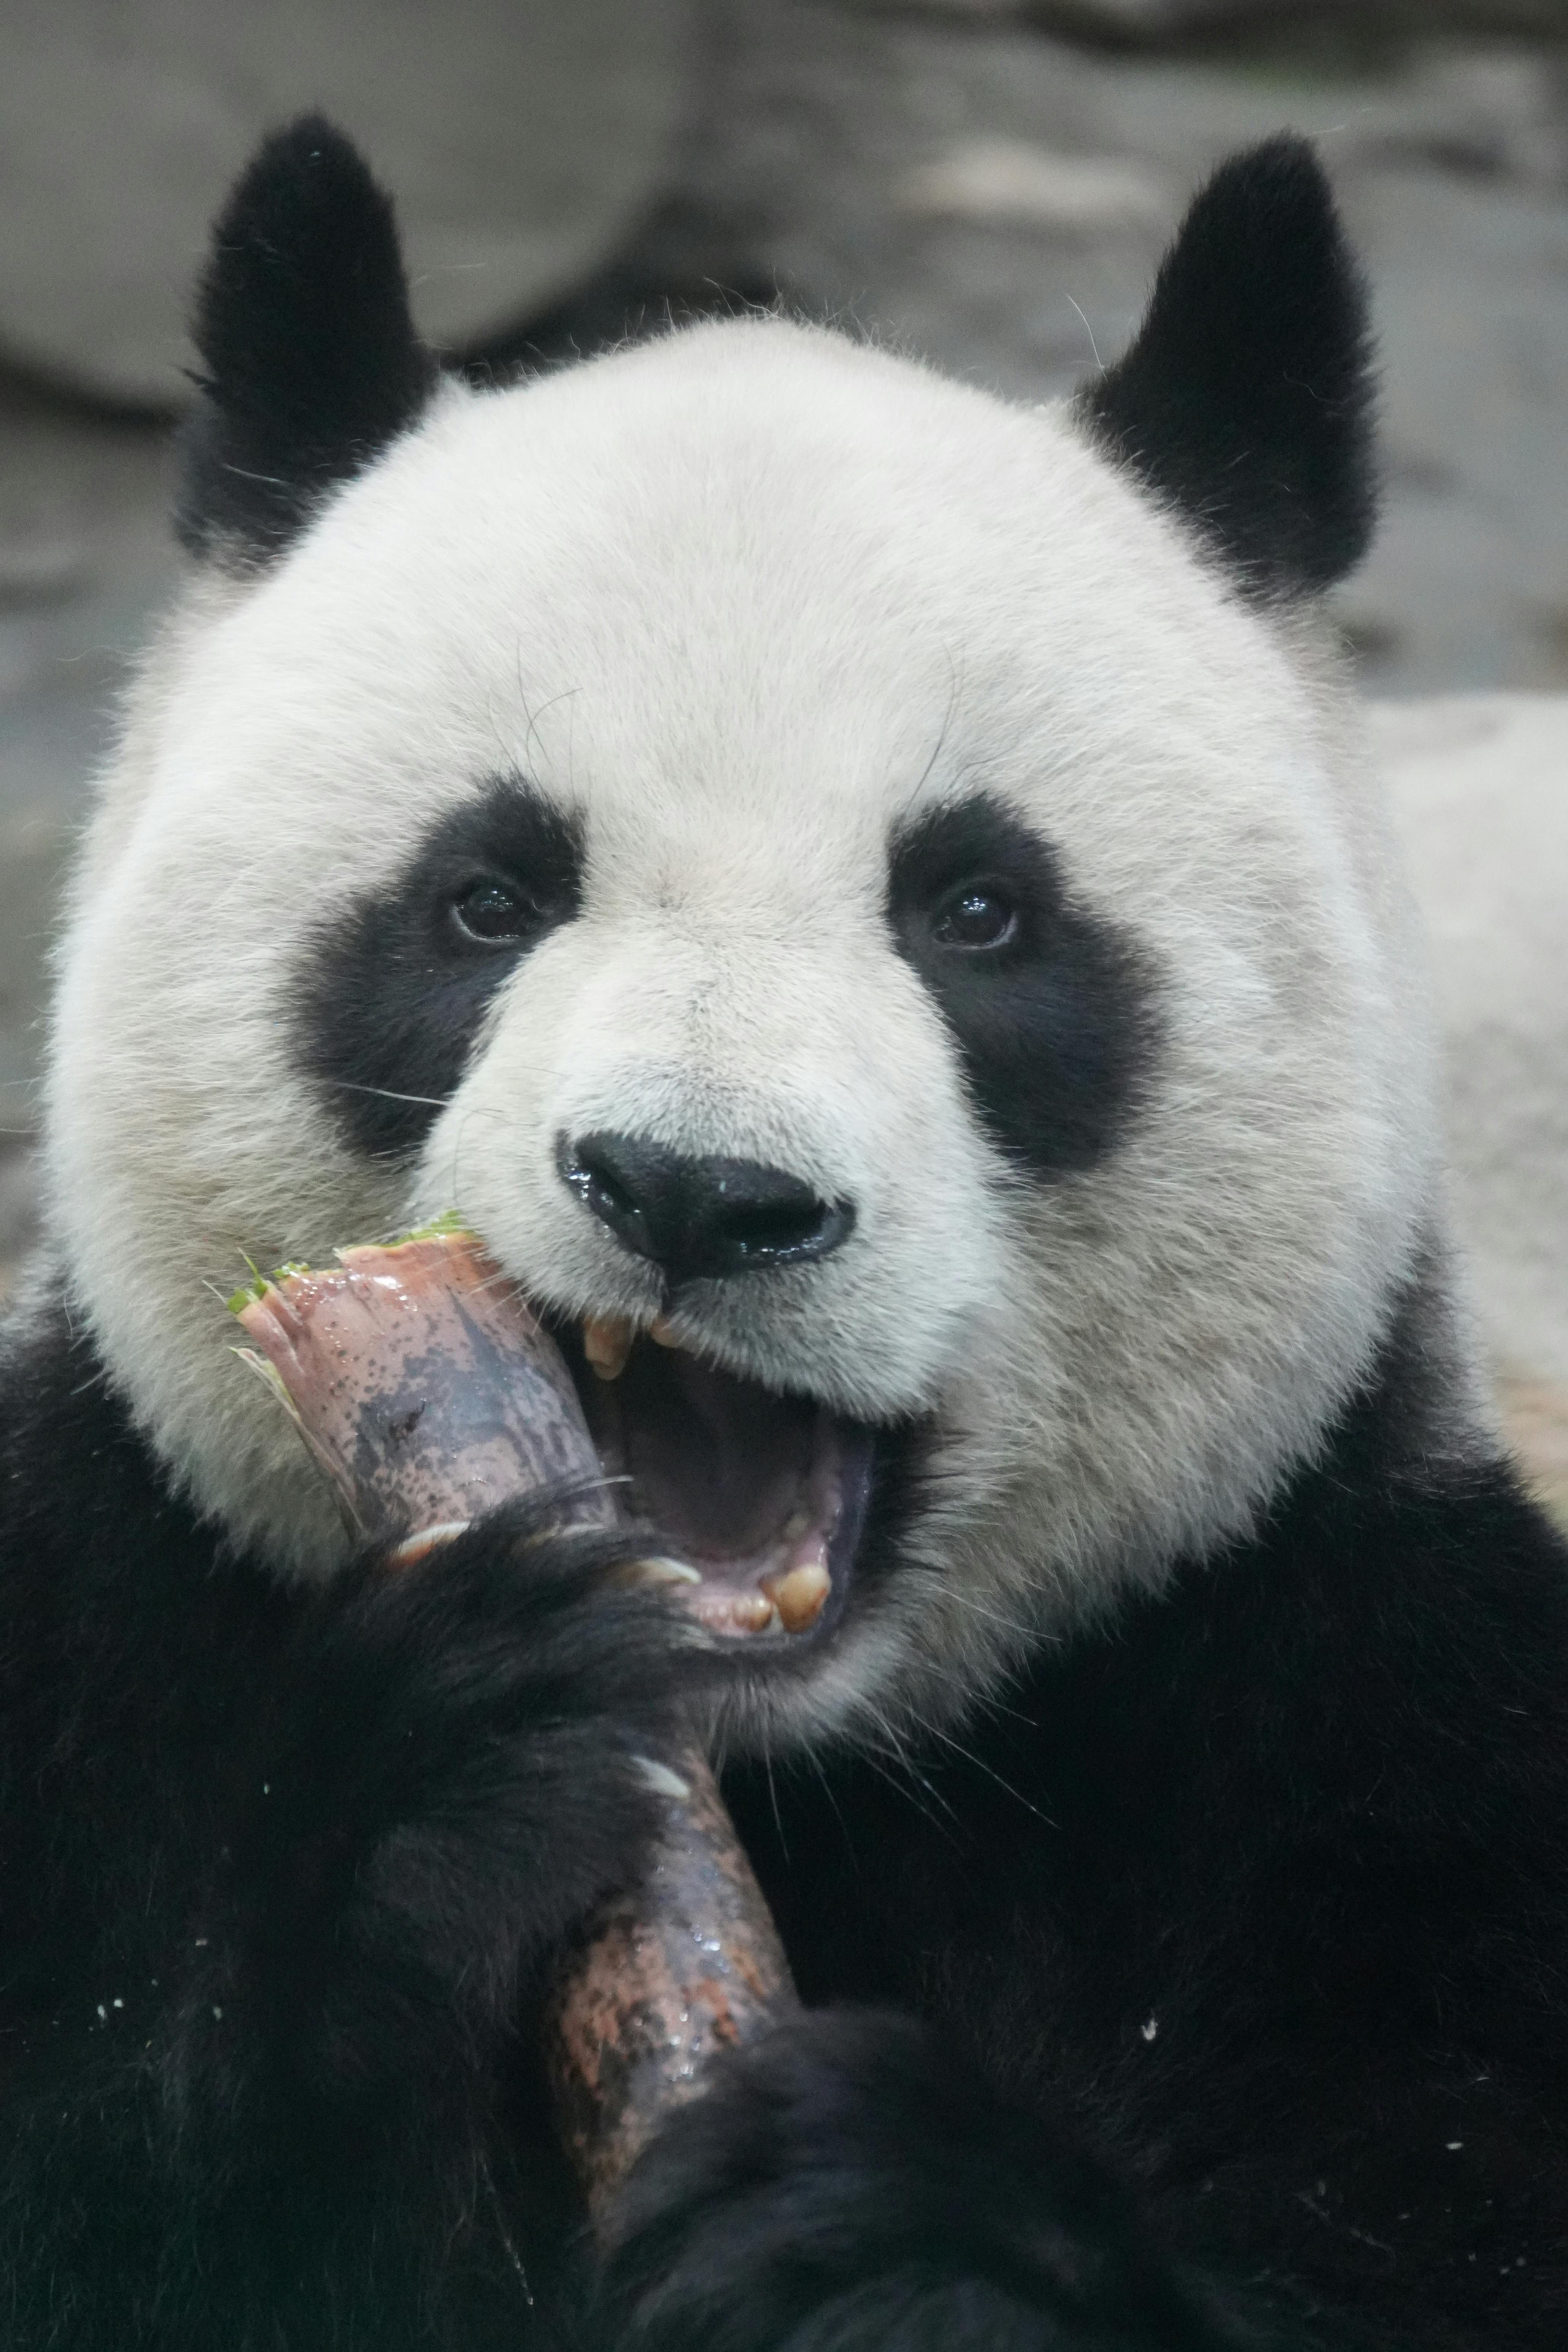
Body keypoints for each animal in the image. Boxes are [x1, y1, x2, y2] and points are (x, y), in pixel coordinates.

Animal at [2, 111, 1566, 2352]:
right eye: (485, 895)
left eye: (976, 909)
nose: (694, 1189)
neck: (793, 1786)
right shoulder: (101, 1626)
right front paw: (449, 1783)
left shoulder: (1356, 1718)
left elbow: (1438, 2222)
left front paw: (895, 2227)